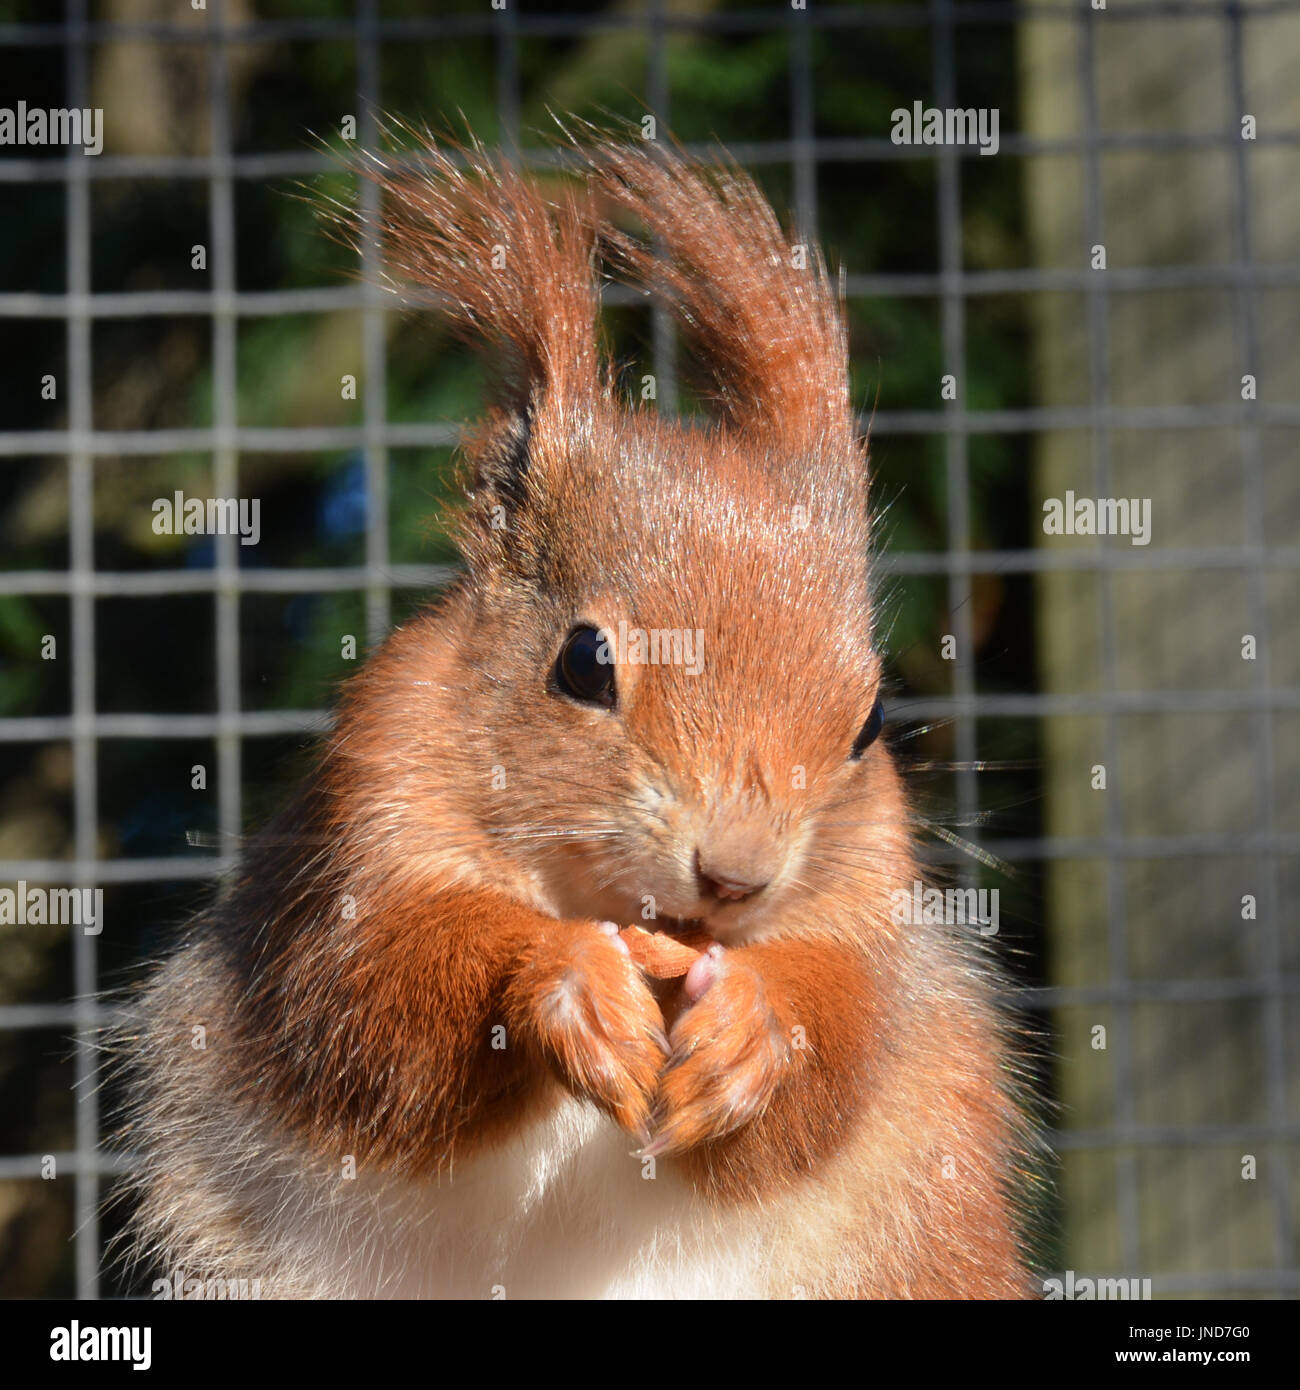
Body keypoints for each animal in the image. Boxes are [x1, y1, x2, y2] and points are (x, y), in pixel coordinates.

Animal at [118, 130, 1033, 1299]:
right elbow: (365, 1020)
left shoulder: (869, 921)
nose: (737, 873)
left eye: (870, 719)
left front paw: (754, 1031)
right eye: (584, 663)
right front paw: (560, 981)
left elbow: (837, 1064)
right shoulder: (351, 847)